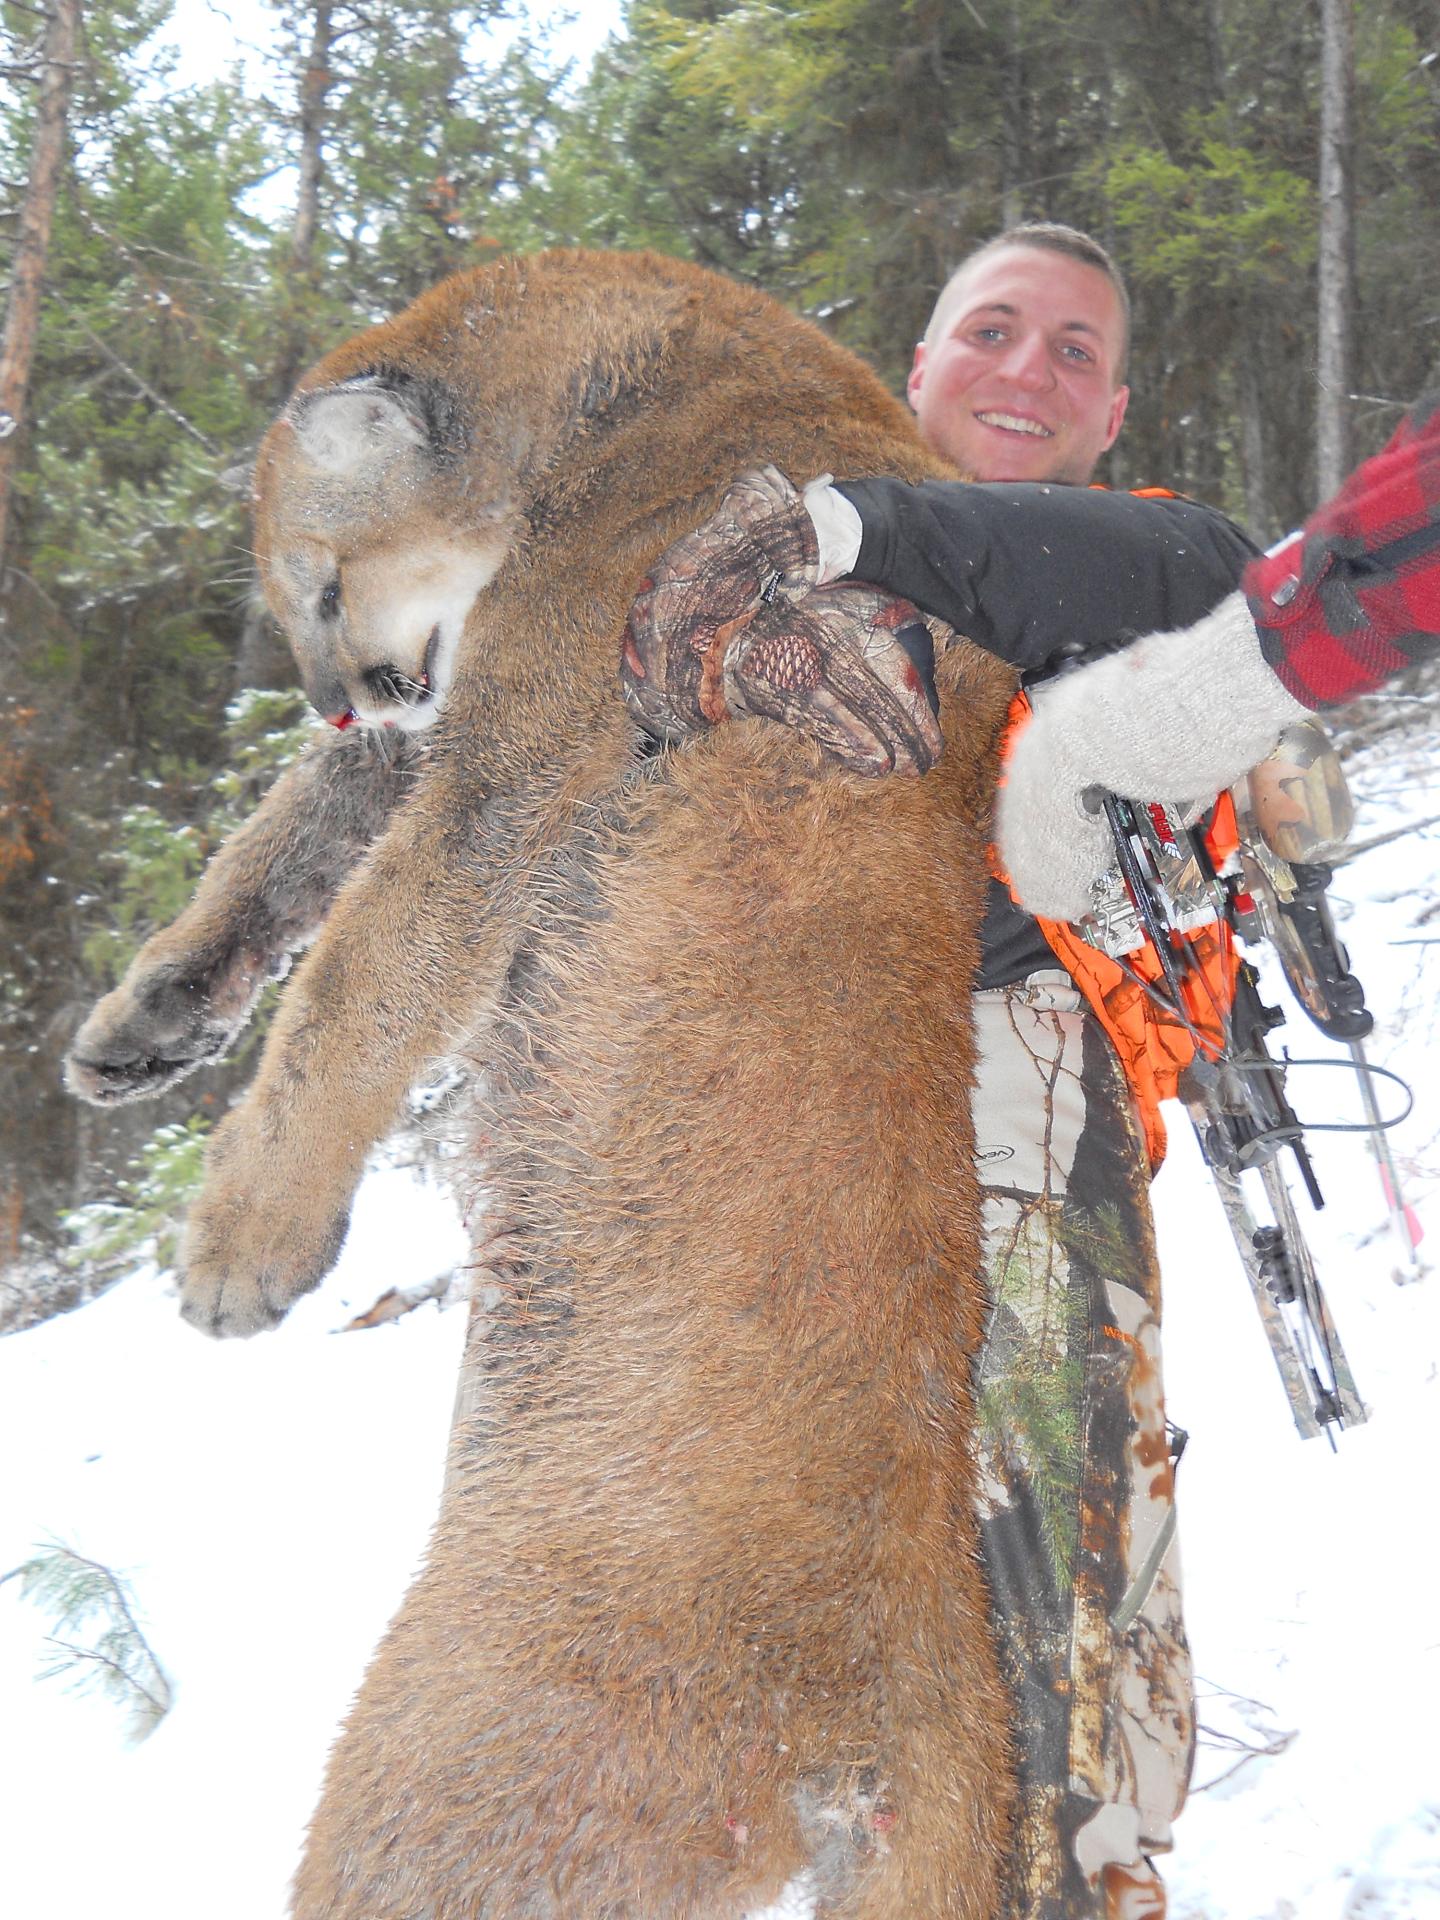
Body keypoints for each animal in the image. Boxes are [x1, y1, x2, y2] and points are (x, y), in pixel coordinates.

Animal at [66, 250, 1018, 1917]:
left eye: (316, 588)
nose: (332, 696)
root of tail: (915, 1699)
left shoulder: (505, 759)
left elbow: (356, 975)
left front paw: (245, 1237)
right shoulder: (440, 729)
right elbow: (269, 852)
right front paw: (142, 1025)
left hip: (436, 1791)